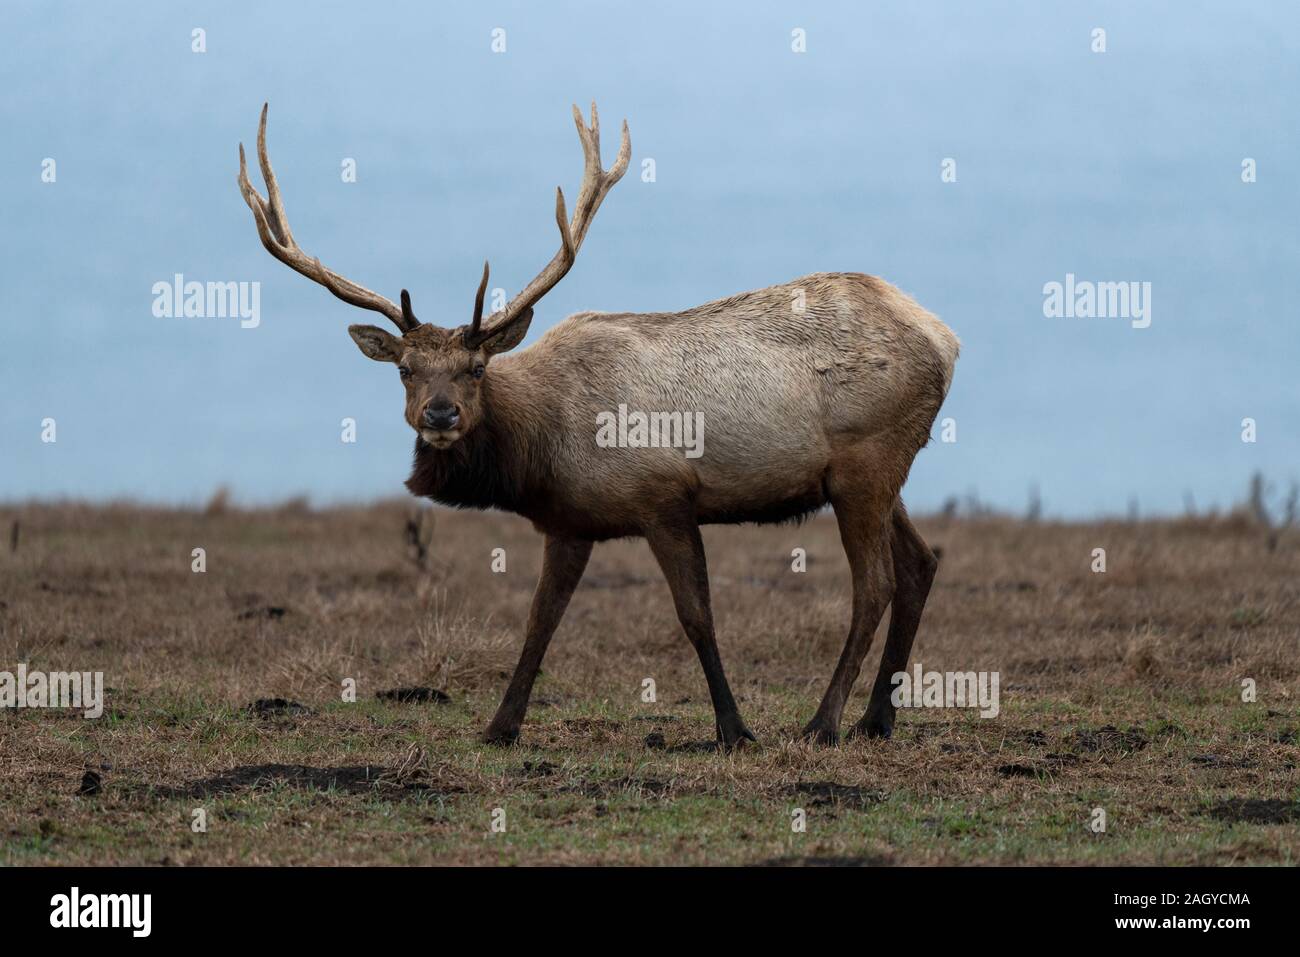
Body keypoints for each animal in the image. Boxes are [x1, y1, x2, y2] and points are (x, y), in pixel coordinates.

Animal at [237, 102, 959, 749]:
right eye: (406, 370)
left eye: (476, 367)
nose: (440, 415)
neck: (542, 447)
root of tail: (946, 339)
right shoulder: (571, 521)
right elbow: (540, 620)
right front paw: (500, 726)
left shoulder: (664, 498)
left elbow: (696, 616)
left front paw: (733, 729)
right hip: (875, 472)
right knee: (921, 563)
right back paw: (876, 719)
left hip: (865, 464)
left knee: (876, 584)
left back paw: (824, 723)